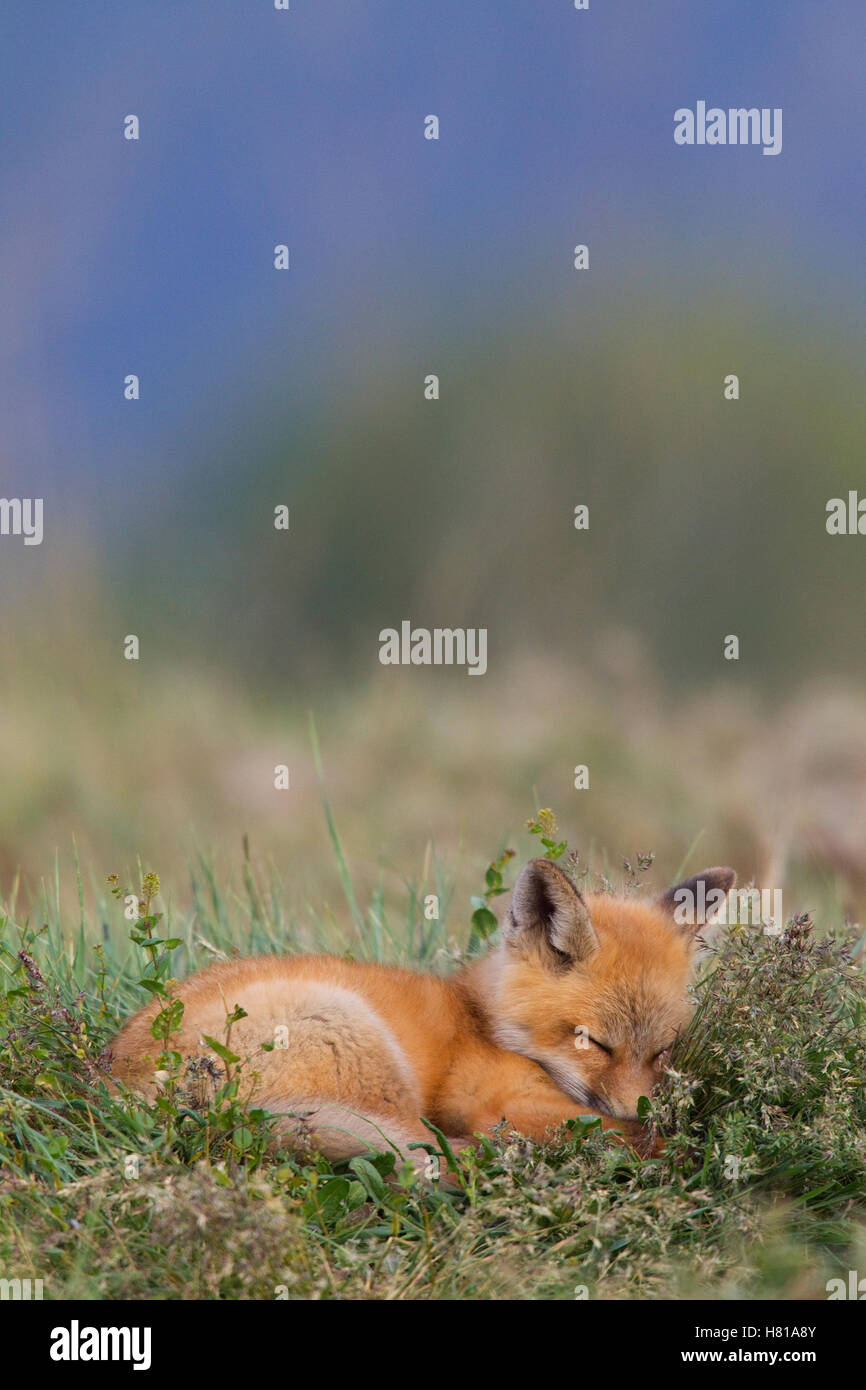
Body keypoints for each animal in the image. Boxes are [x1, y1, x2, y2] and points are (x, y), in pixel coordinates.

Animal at [109, 857, 735, 1166]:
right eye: (592, 1041)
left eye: (663, 1049)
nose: (641, 1104)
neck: (484, 1021)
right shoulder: (503, 1105)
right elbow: (629, 1133)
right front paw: (680, 1146)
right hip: (357, 1041)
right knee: (414, 1147)